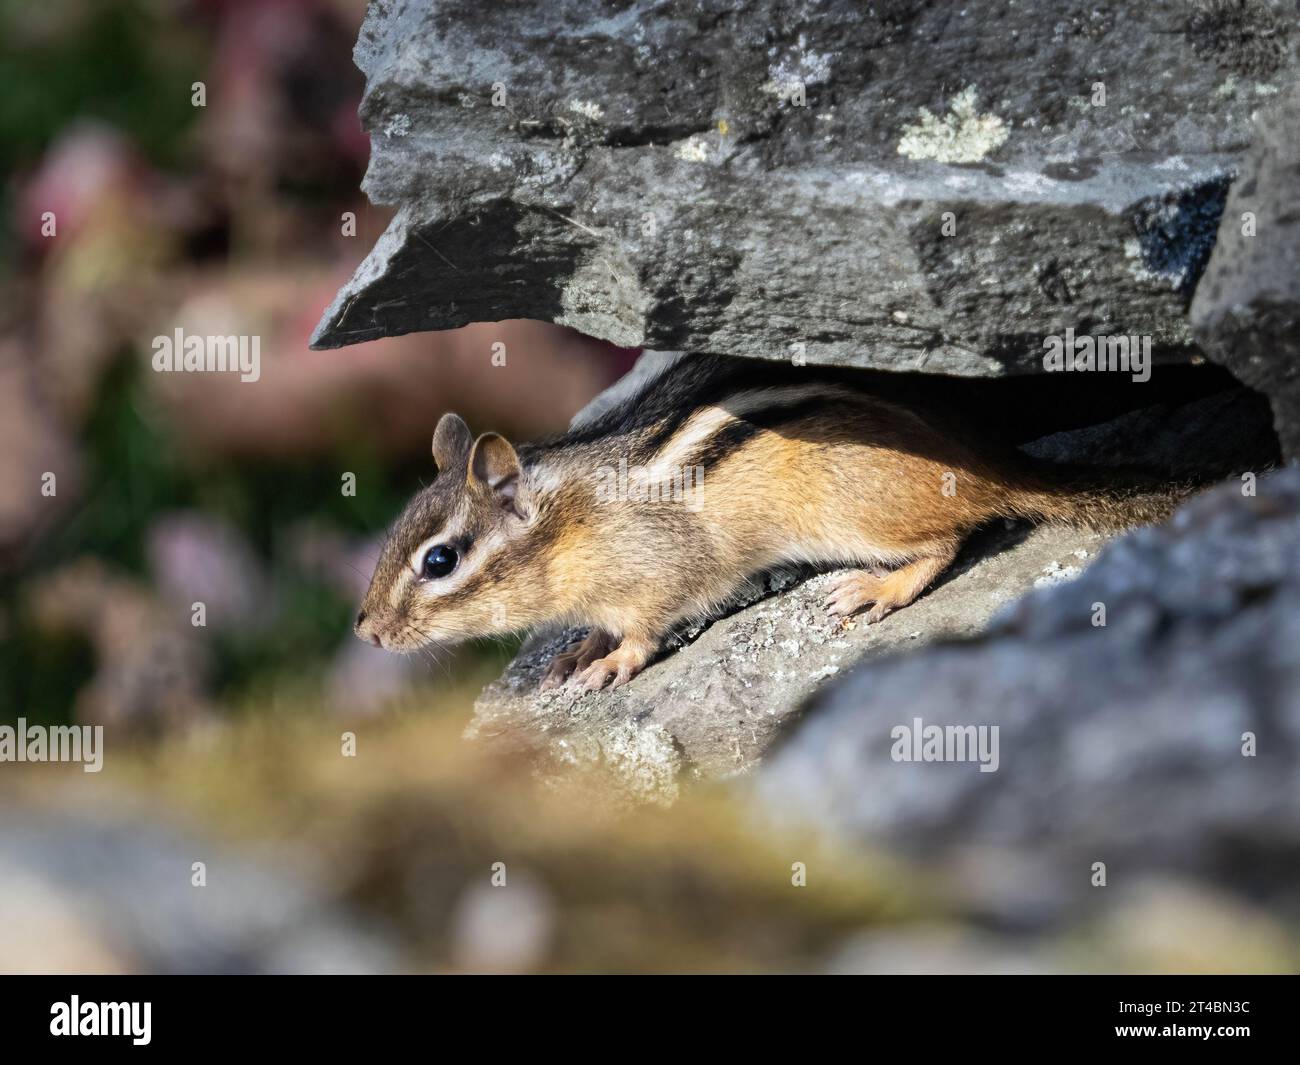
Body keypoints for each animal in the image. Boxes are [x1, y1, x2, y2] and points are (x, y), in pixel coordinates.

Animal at [354, 353, 1189, 690]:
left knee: (947, 540)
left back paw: (877, 590)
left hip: (852, 514)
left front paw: (613, 660)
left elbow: (648, 626)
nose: (364, 630)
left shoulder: (659, 570)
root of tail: (990, 457)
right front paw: (578, 646)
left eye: (439, 560)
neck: (571, 522)